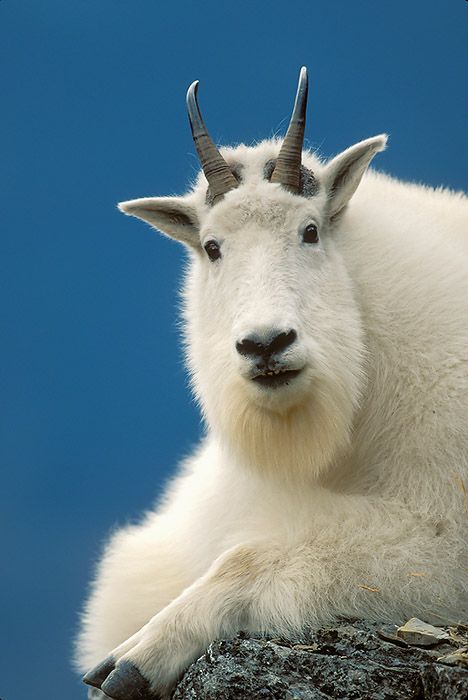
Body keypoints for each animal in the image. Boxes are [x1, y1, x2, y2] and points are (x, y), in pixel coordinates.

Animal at [77, 68, 468, 700]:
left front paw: (135, 659)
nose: (266, 345)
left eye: (310, 231)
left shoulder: (447, 532)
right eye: (212, 247)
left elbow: (249, 556)